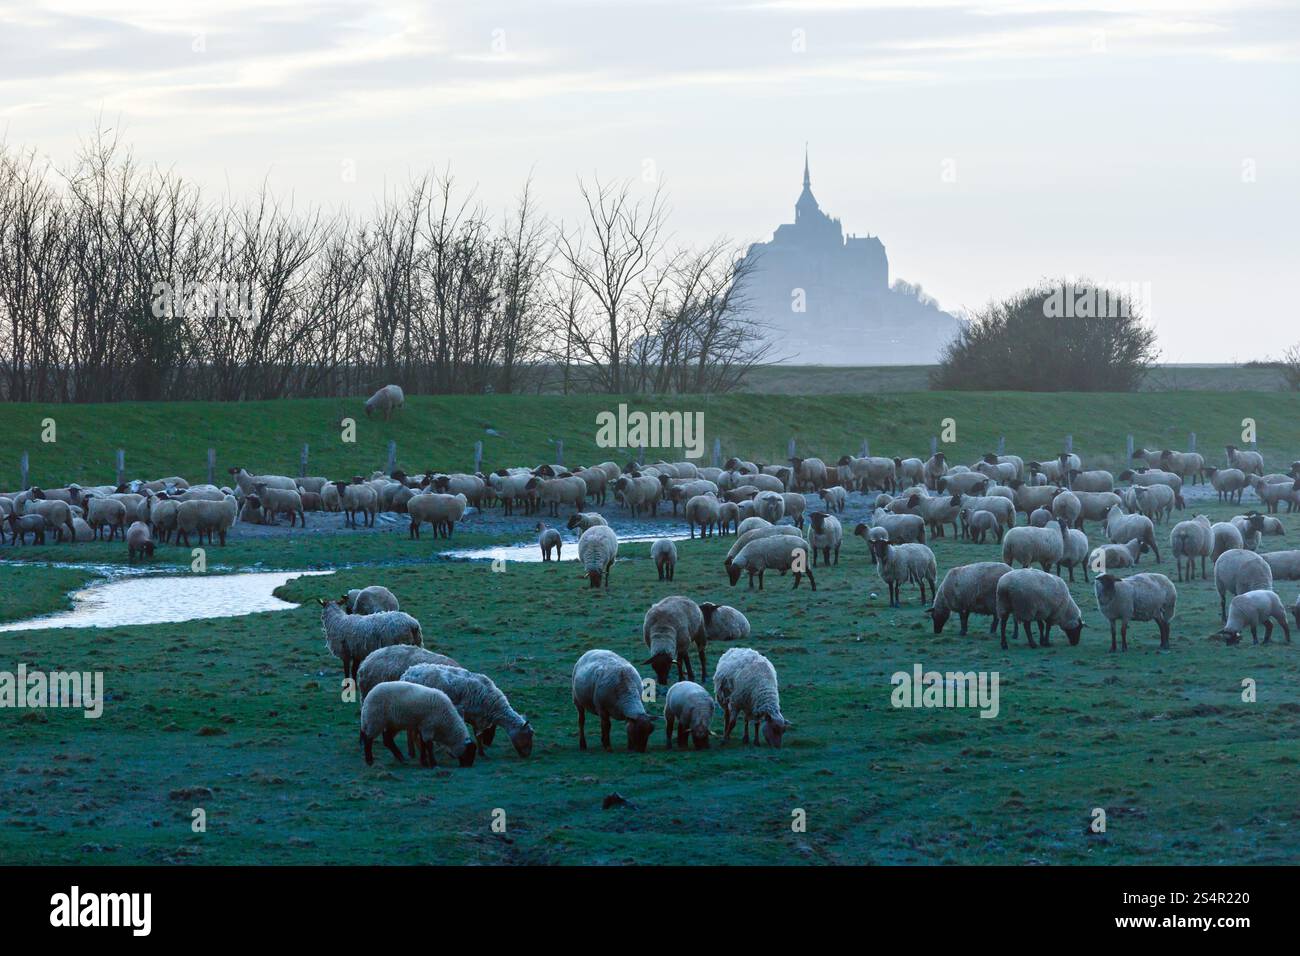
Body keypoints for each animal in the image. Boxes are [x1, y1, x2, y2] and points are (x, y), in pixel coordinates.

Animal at [401, 663, 534, 757]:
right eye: (527, 735)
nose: (527, 755)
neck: (493, 705)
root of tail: (407, 672)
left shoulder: (477, 717)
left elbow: (478, 735)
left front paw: (482, 753)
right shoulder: (462, 711)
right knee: (411, 731)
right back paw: (414, 752)